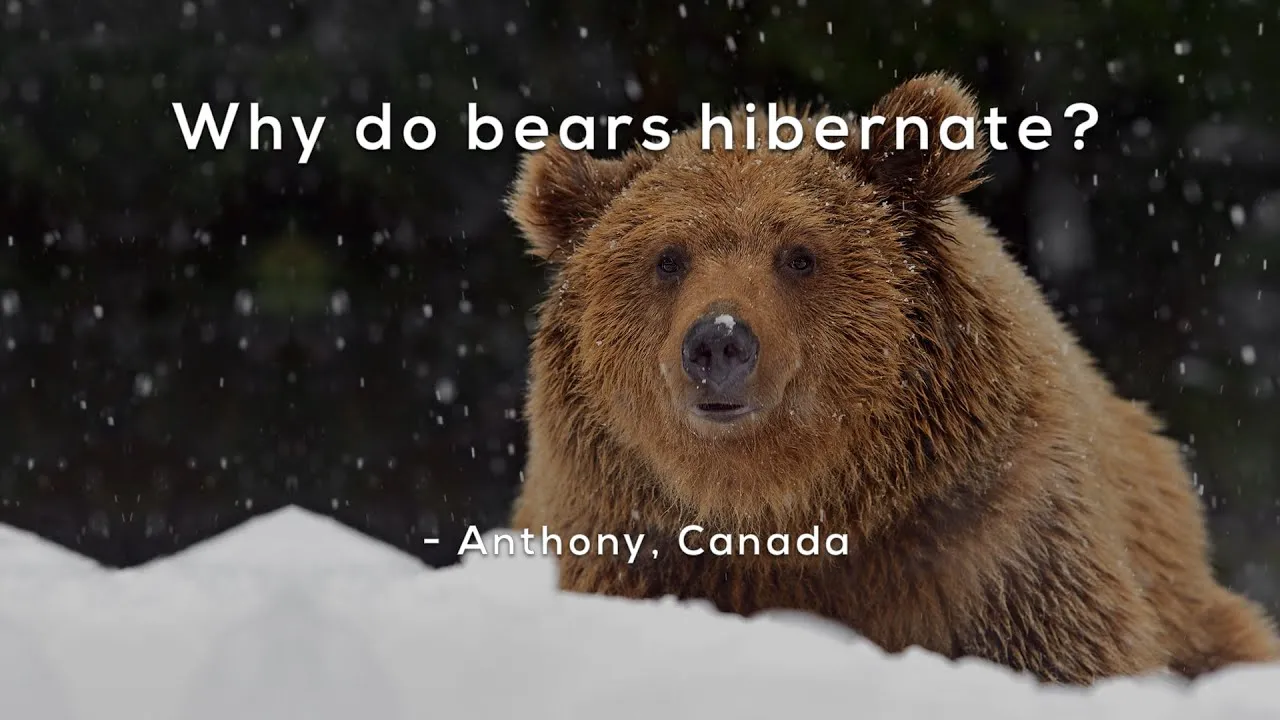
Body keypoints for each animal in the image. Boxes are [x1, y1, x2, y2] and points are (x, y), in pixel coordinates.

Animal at [504, 72, 1280, 684]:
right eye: (668, 257)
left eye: (800, 254)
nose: (718, 341)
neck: (788, 511)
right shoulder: (630, 548)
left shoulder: (999, 550)